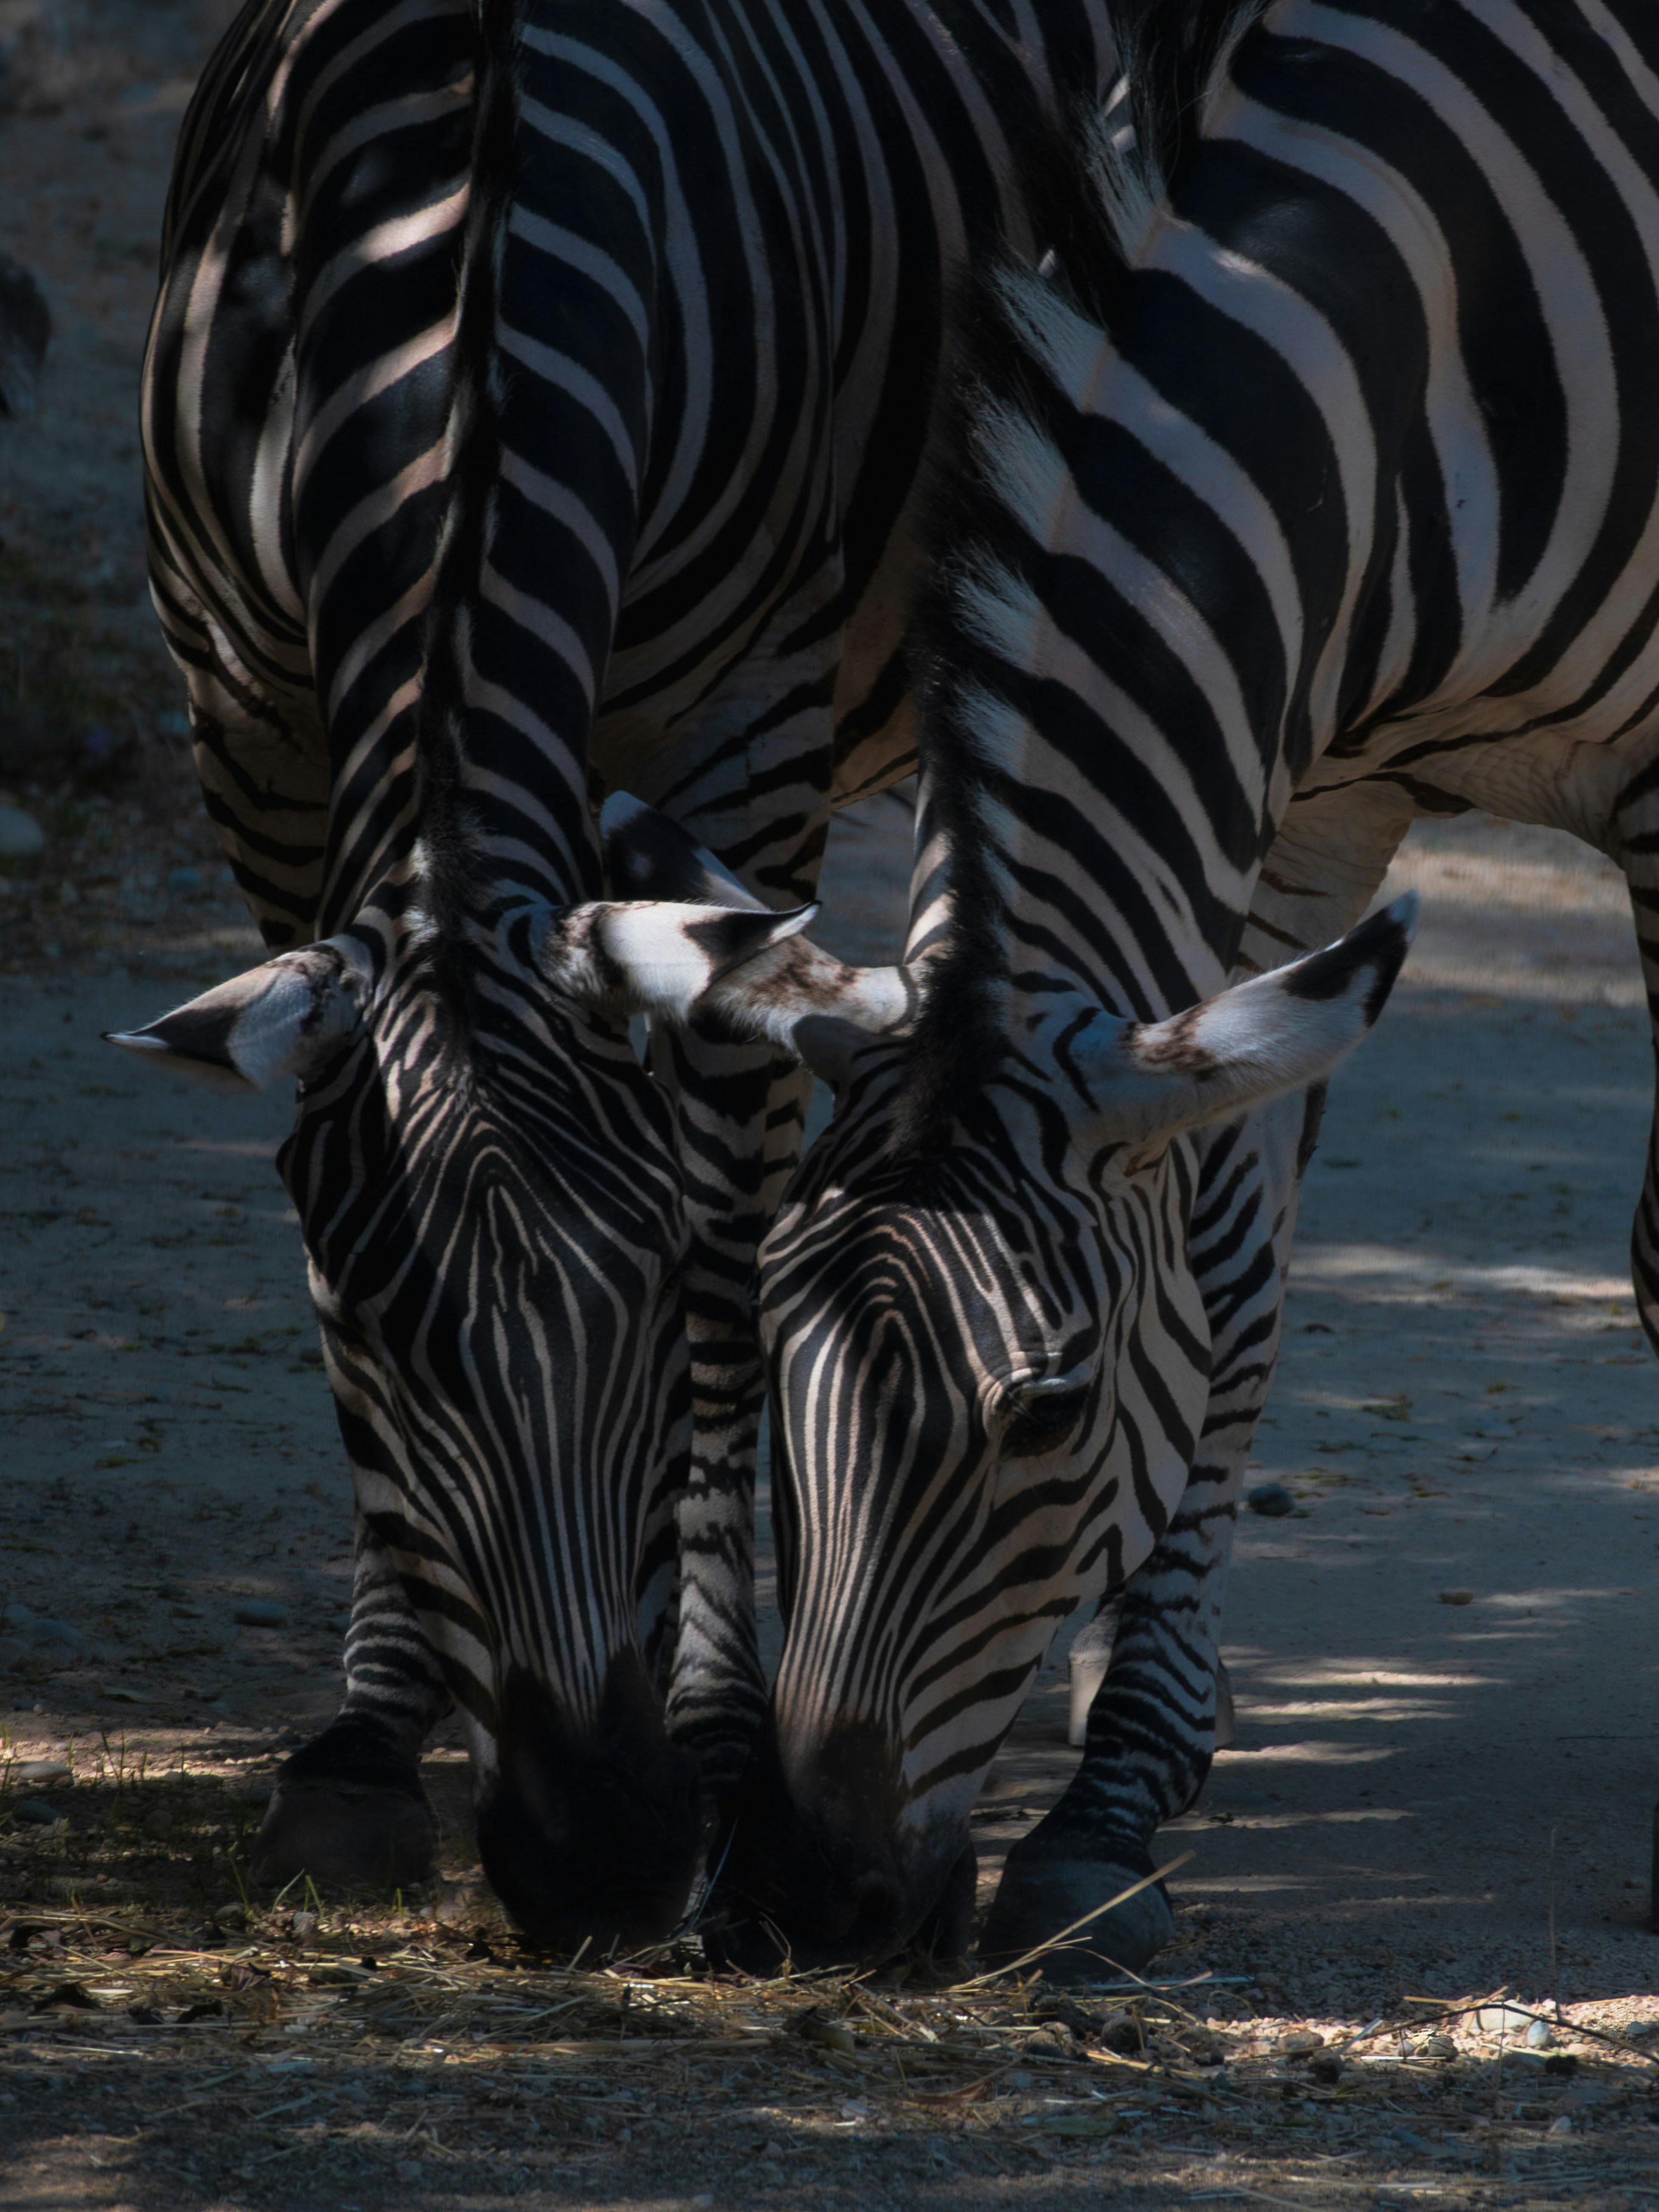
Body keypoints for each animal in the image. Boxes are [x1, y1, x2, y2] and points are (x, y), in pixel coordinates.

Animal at [115, 0, 1124, 1945]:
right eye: (367, 1331)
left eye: (647, 1296)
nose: (598, 1857)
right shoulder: (250, 720)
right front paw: (365, 1742)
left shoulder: (754, 731)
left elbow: (738, 1244)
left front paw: (720, 1742)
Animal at [622, 0, 1659, 1971]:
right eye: (773, 1361)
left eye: (1042, 1411)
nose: (813, 1903)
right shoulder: (1296, 802)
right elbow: (1235, 1259)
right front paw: (1110, 1806)